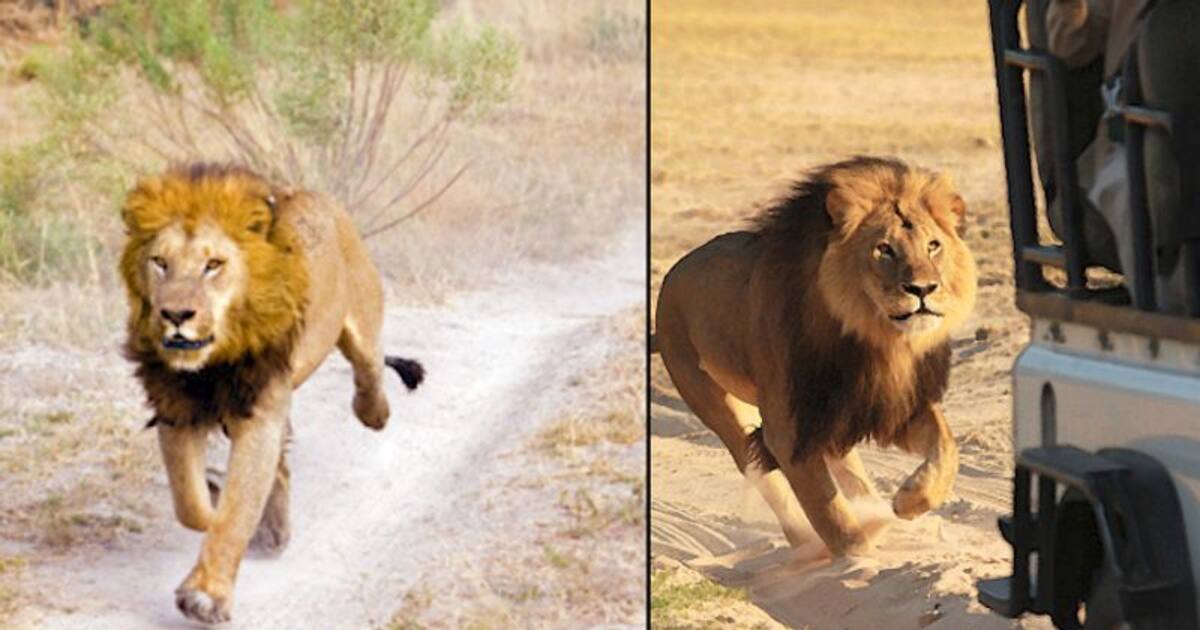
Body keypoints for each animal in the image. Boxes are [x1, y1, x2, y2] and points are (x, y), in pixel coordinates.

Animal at [118, 163, 425, 623]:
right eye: (160, 263)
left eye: (213, 265)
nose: (175, 315)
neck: (214, 362)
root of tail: (315, 194)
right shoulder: (177, 411)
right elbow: (191, 503)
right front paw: (216, 493)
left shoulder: (259, 415)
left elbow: (235, 510)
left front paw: (206, 595)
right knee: (280, 463)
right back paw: (273, 528)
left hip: (362, 325)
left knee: (370, 371)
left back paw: (373, 411)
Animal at [653, 156, 977, 556]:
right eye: (884, 249)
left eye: (933, 246)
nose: (924, 288)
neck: (870, 337)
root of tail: (671, 277)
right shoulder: (788, 429)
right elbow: (829, 511)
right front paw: (856, 556)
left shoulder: (891, 403)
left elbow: (946, 447)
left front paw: (908, 503)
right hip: (720, 405)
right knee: (766, 478)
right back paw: (805, 541)